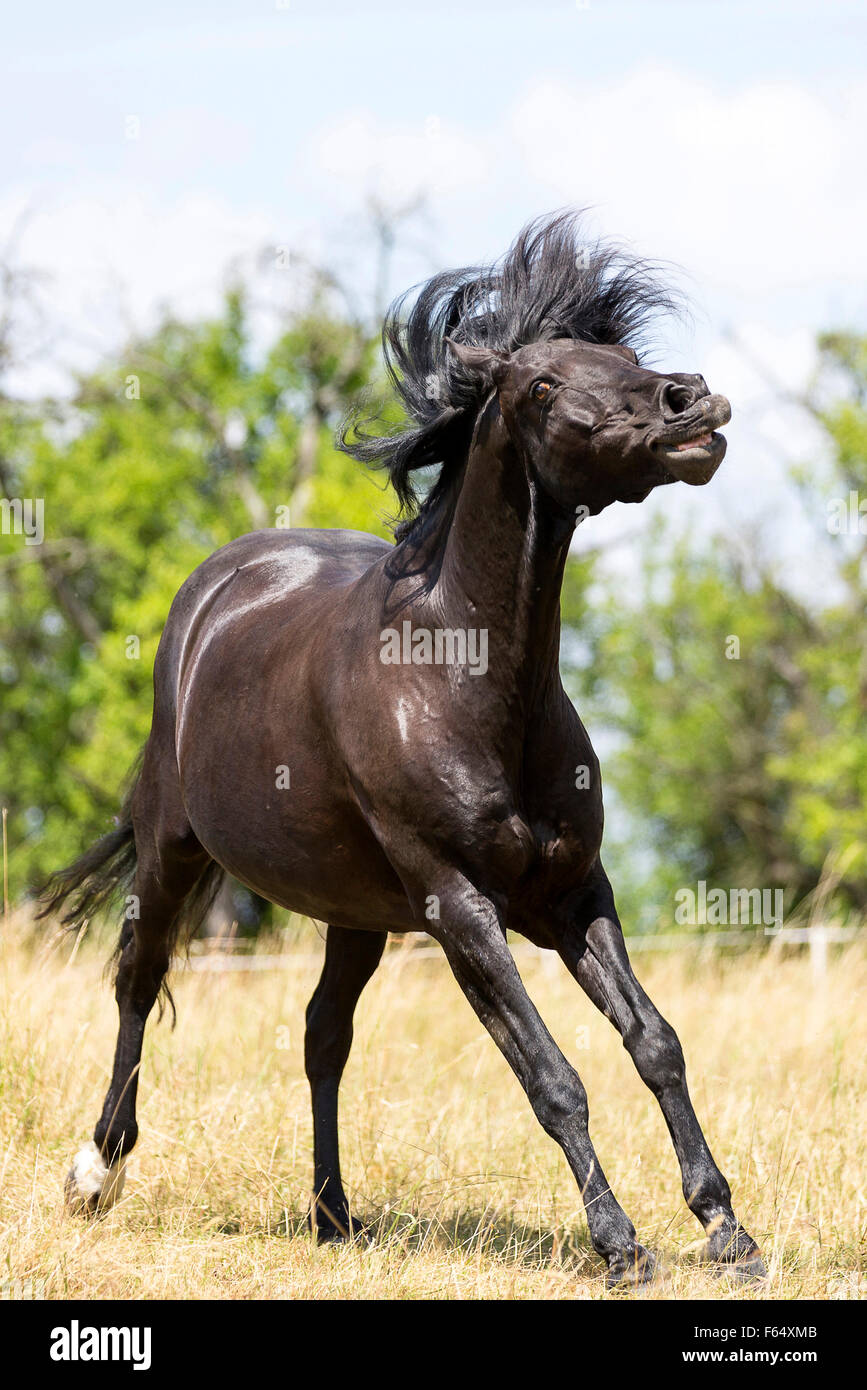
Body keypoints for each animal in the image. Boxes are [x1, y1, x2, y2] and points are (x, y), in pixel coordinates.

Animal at [39, 213, 765, 1285]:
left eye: (627, 359)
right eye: (540, 384)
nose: (689, 404)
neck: (467, 688)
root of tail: (213, 590)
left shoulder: (572, 895)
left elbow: (654, 1041)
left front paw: (726, 1227)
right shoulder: (459, 908)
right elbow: (553, 1078)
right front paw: (620, 1245)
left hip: (355, 914)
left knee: (320, 1037)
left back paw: (333, 1215)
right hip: (174, 850)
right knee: (139, 981)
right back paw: (96, 1175)